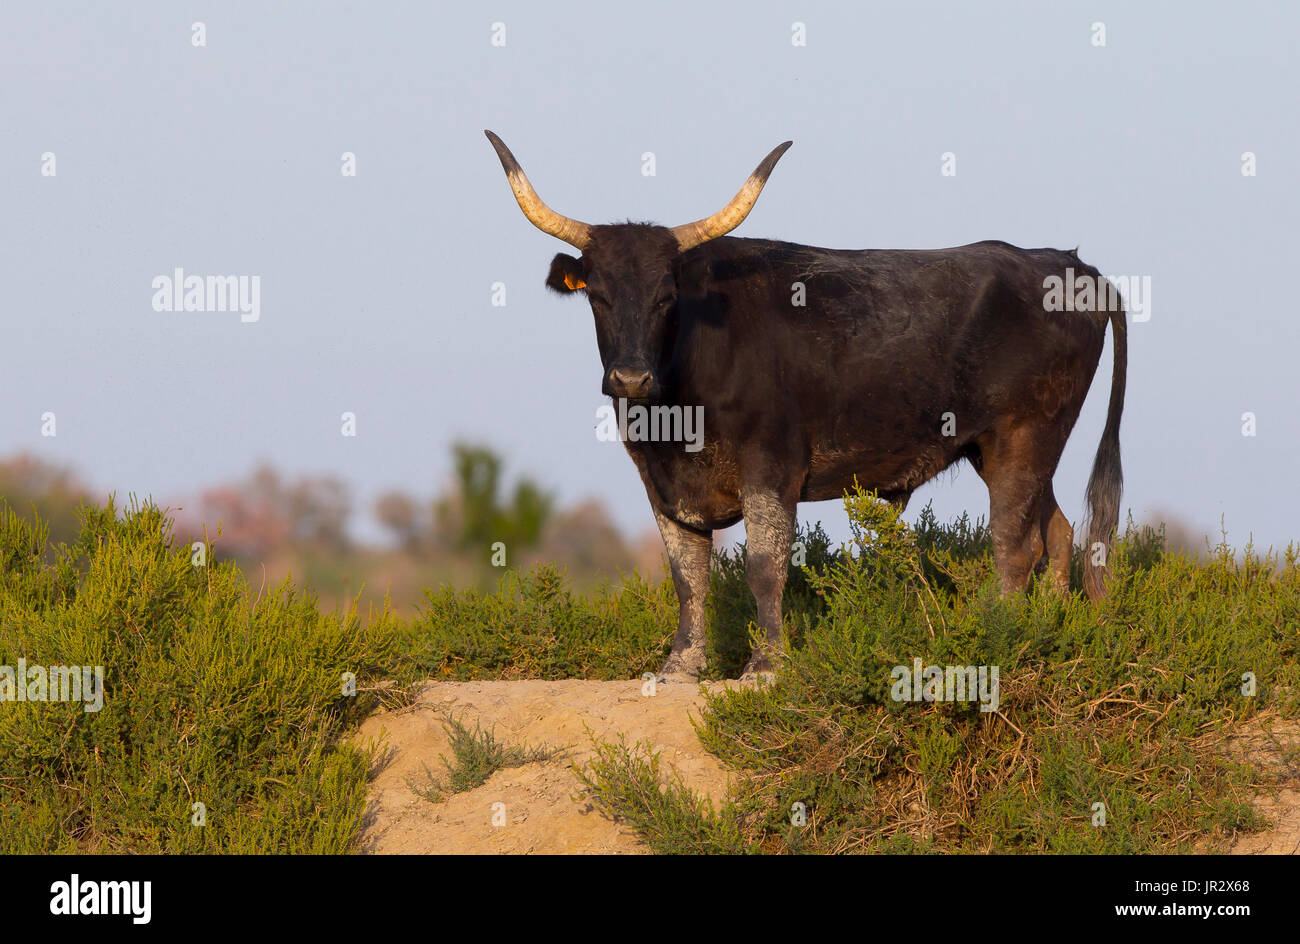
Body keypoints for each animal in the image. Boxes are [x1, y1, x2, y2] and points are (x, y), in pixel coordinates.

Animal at [485, 130, 1126, 682]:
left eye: (667, 297)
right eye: (597, 296)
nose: (630, 378)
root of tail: (1071, 265)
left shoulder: (772, 467)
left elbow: (765, 566)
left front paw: (765, 665)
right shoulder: (661, 483)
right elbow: (687, 575)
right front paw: (681, 667)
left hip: (1023, 438)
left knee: (1013, 546)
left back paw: (1003, 635)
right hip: (1008, 451)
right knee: (1057, 532)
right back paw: (1049, 629)